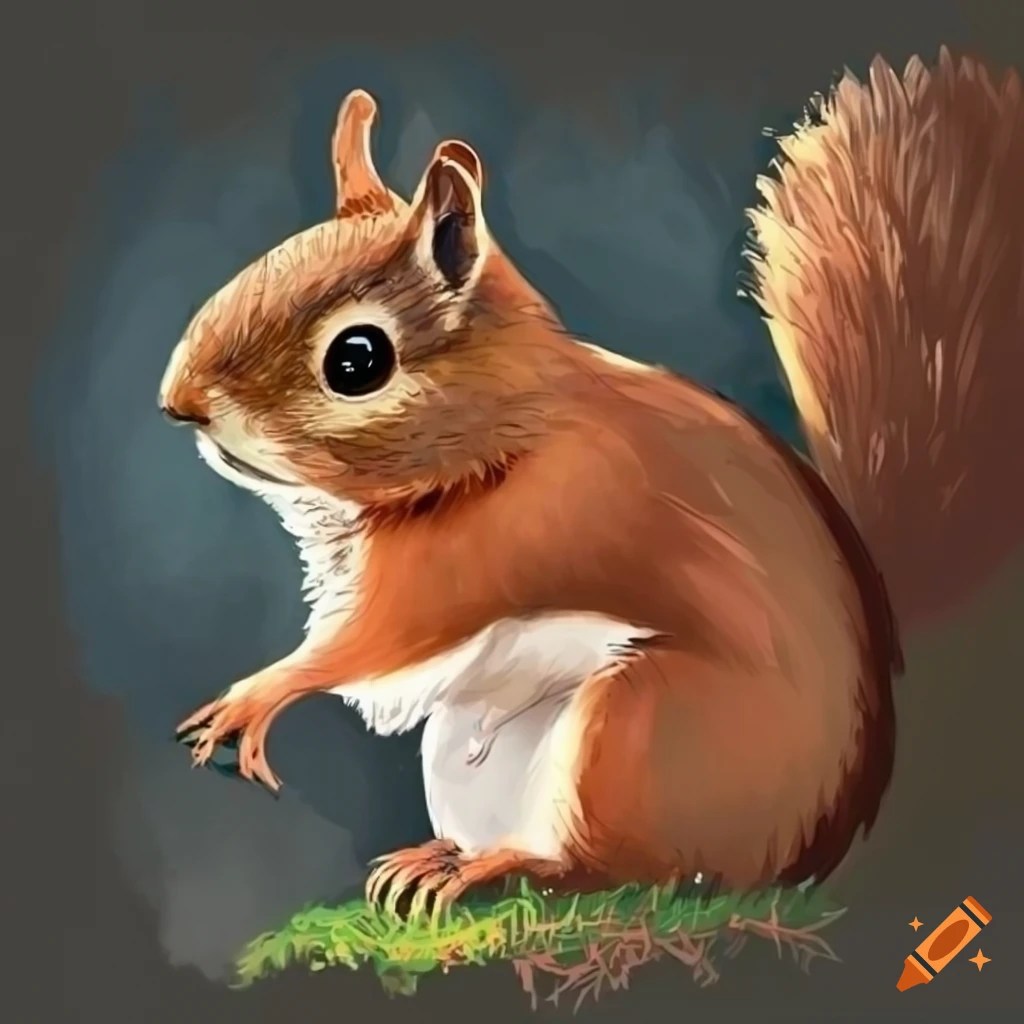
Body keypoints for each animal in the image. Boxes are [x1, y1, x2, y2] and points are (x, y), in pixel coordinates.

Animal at [159, 48, 1024, 917]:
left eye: (357, 359)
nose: (179, 403)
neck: (507, 434)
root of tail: (821, 834)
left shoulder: (501, 540)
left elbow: (370, 642)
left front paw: (259, 695)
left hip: (642, 732)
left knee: (614, 870)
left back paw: (497, 868)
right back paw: (440, 859)